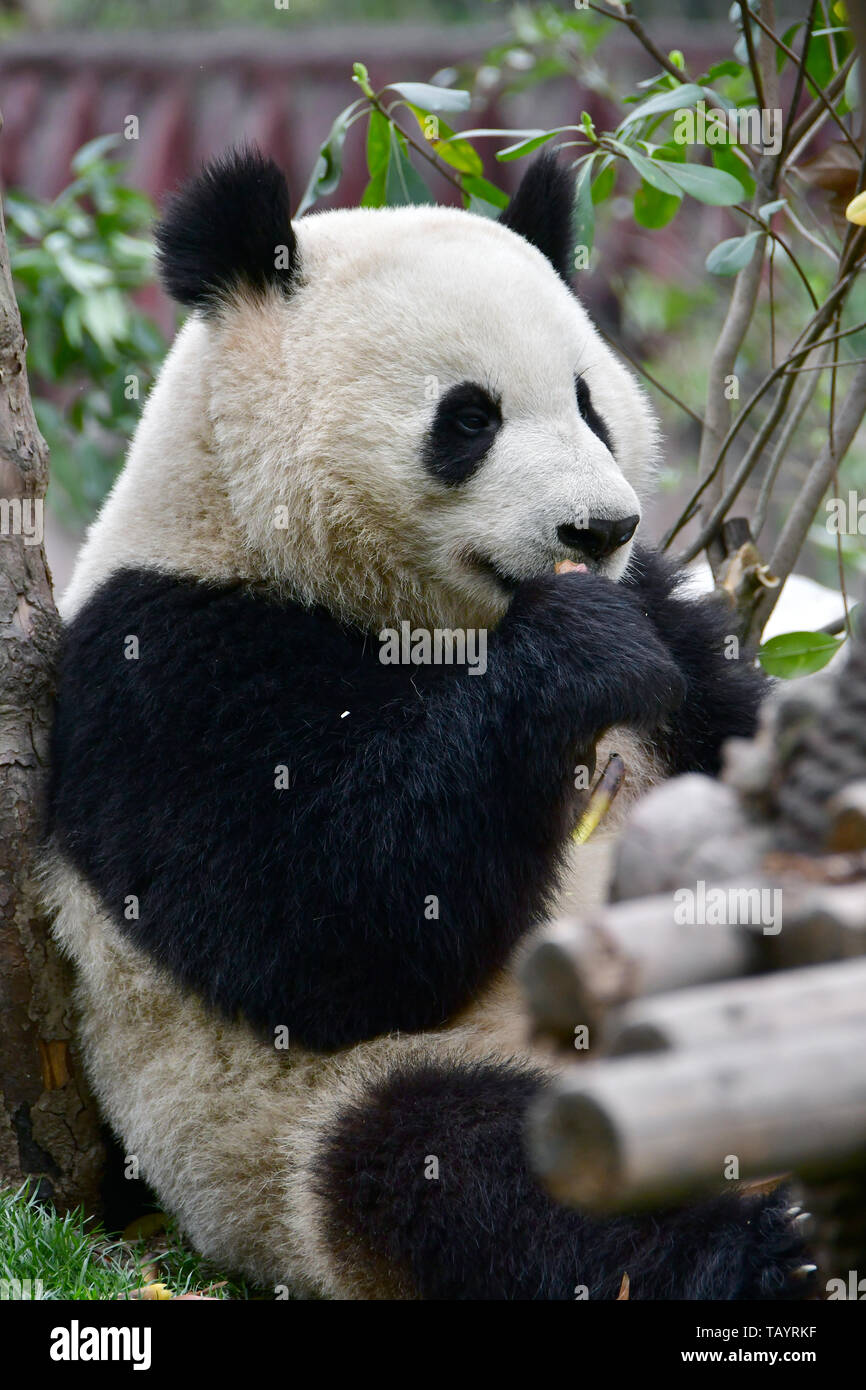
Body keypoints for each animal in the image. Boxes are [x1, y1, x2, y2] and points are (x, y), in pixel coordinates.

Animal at [43, 146, 811, 1300]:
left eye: (589, 403)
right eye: (469, 417)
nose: (600, 527)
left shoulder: (673, 616)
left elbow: (734, 729)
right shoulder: (159, 663)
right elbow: (326, 928)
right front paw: (580, 654)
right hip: (311, 1121)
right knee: (461, 1161)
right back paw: (761, 1244)